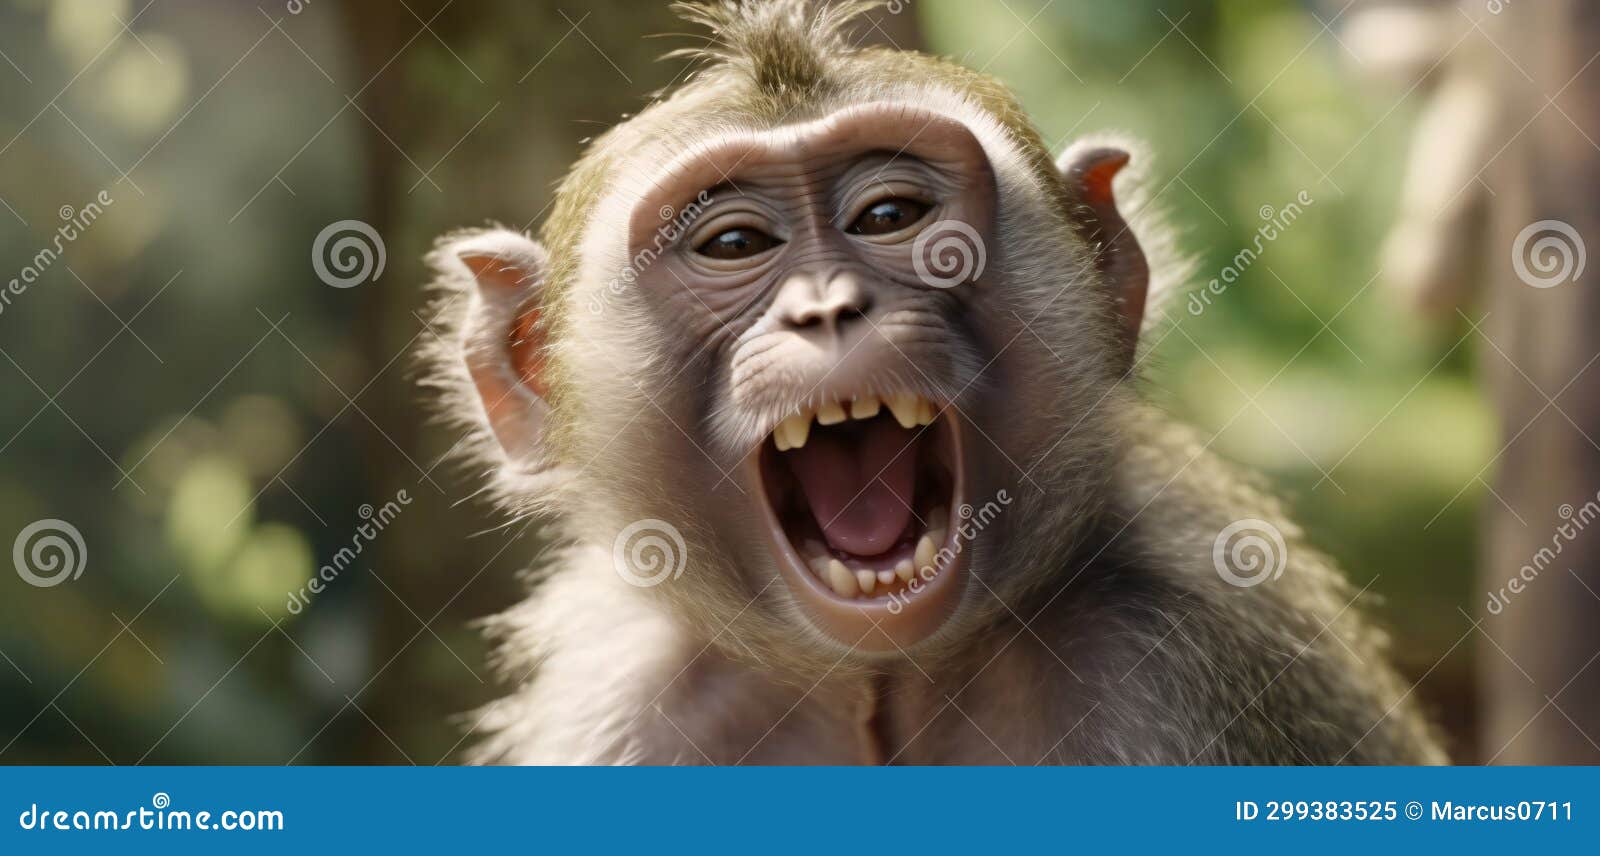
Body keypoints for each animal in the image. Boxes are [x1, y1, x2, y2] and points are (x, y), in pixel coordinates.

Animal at [418, 0, 1447, 764]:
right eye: (736, 243)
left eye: (888, 217)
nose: (828, 309)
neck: (881, 679)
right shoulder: (629, 707)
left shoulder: (1167, 660)